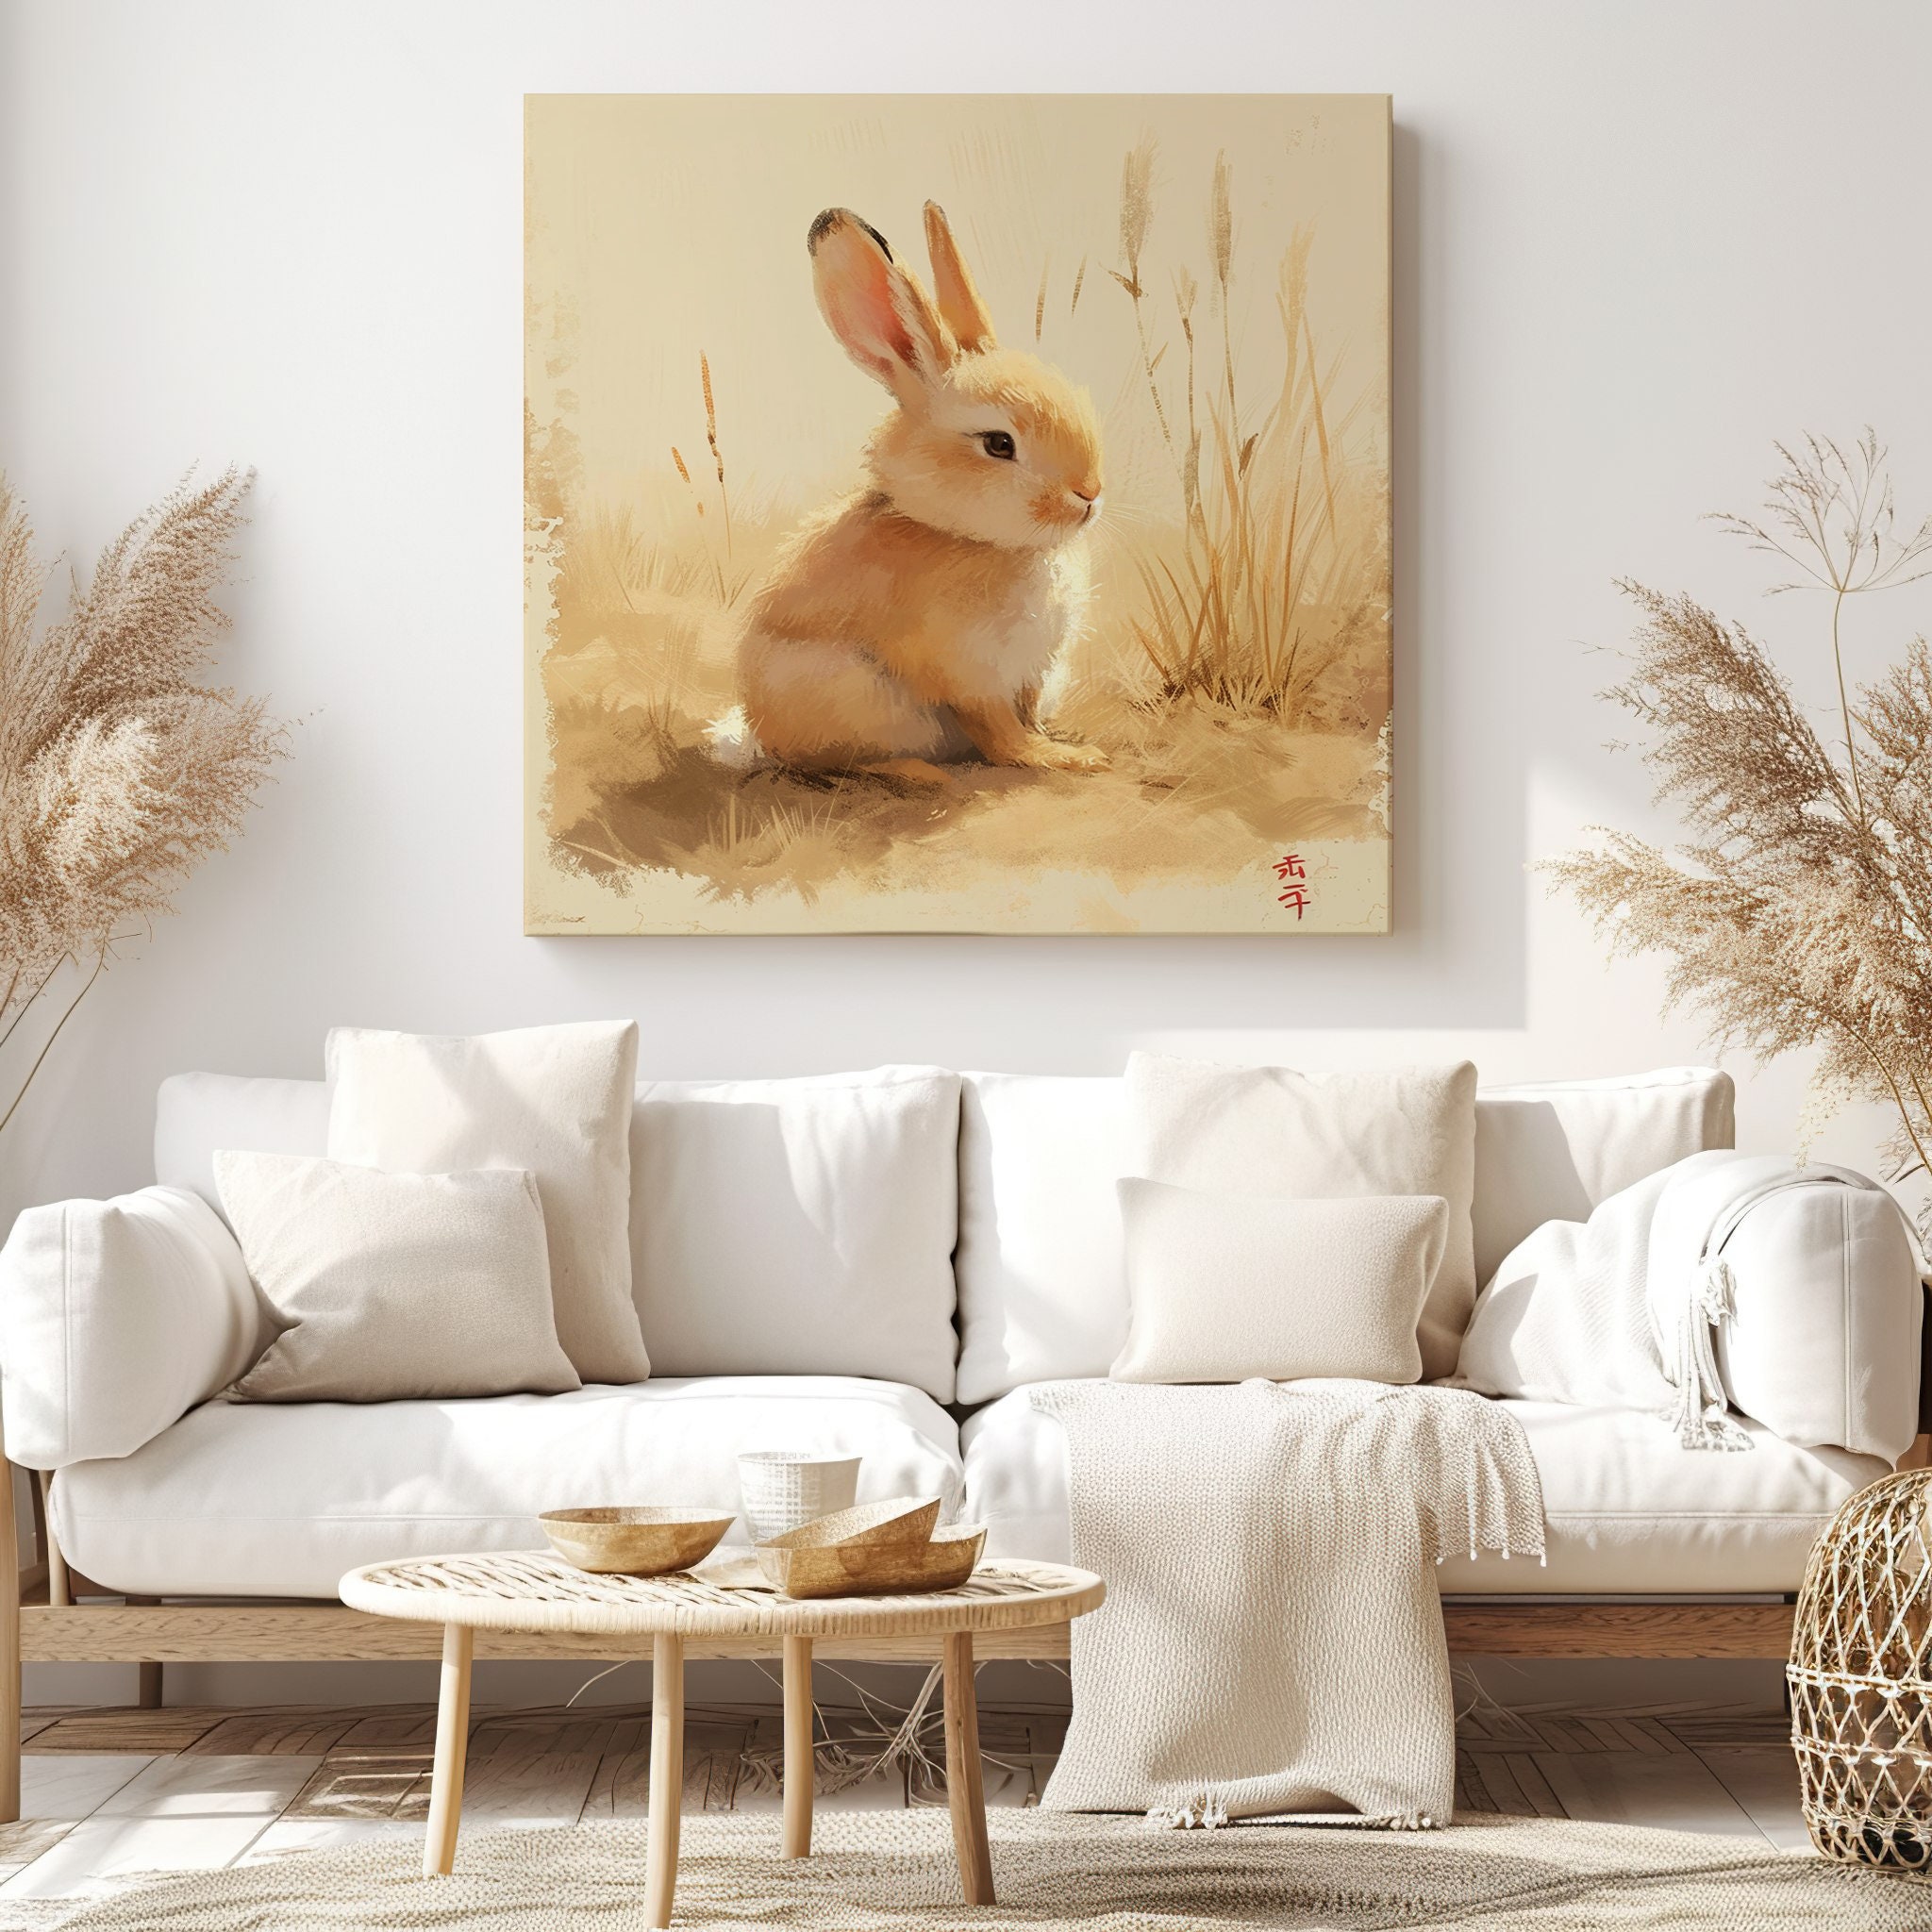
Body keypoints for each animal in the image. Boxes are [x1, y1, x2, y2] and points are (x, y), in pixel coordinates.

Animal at [720, 201, 1109, 786]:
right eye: (999, 444)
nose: (1088, 493)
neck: (974, 537)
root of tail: (755, 735)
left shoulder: (1030, 676)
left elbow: (1026, 713)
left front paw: (1059, 743)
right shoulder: (970, 675)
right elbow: (1001, 731)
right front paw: (1057, 758)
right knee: (832, 763)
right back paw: (920, 773)